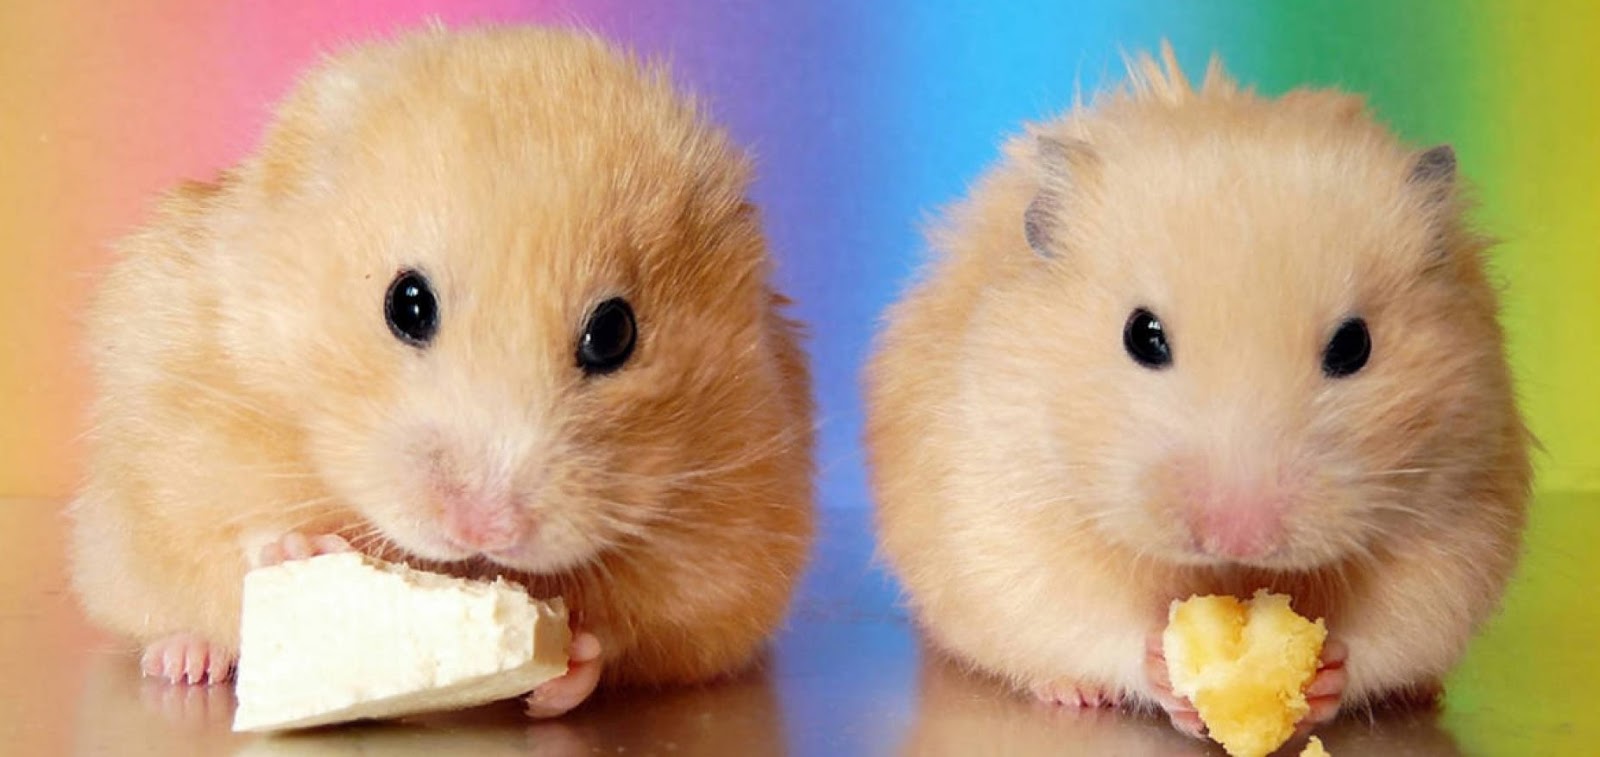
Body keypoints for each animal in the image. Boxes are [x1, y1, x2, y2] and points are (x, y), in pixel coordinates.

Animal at [69, 25, 815, 718]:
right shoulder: (177, 429)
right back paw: (185, 659)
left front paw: (568, 660)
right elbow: (223, 533)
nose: (483, 528)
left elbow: (638, 626)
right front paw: (299, 548)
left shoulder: (735, 528)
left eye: (614, 334)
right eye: (407, 303)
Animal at [865, 45, 1531, 737]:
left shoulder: (1457, 511)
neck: (1229, 573)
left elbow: (1393, 629)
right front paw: (1164, 670)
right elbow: (1079, 614)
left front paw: (1324, 672)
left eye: (1354, 346)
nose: (1240, 536)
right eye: (1142, 335)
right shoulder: (1008, 499)